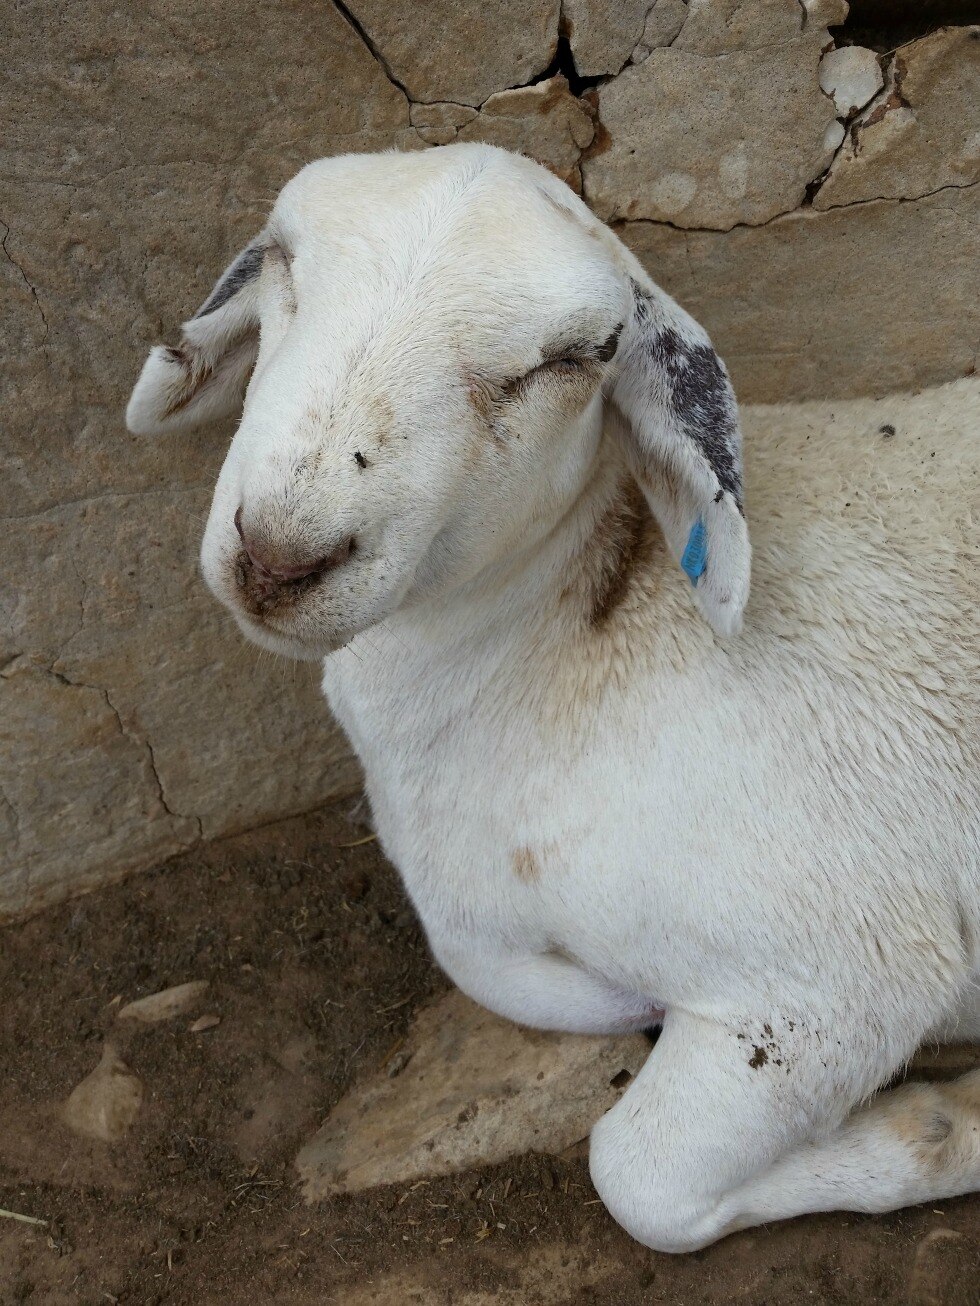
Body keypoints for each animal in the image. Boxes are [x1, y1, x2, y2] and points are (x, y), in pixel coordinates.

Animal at [127, 144, 980, 1252]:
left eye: (578, 355)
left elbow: (637, 1174)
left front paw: (950, 1124)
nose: (280, 555)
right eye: (281, 258)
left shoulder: (842, 969)